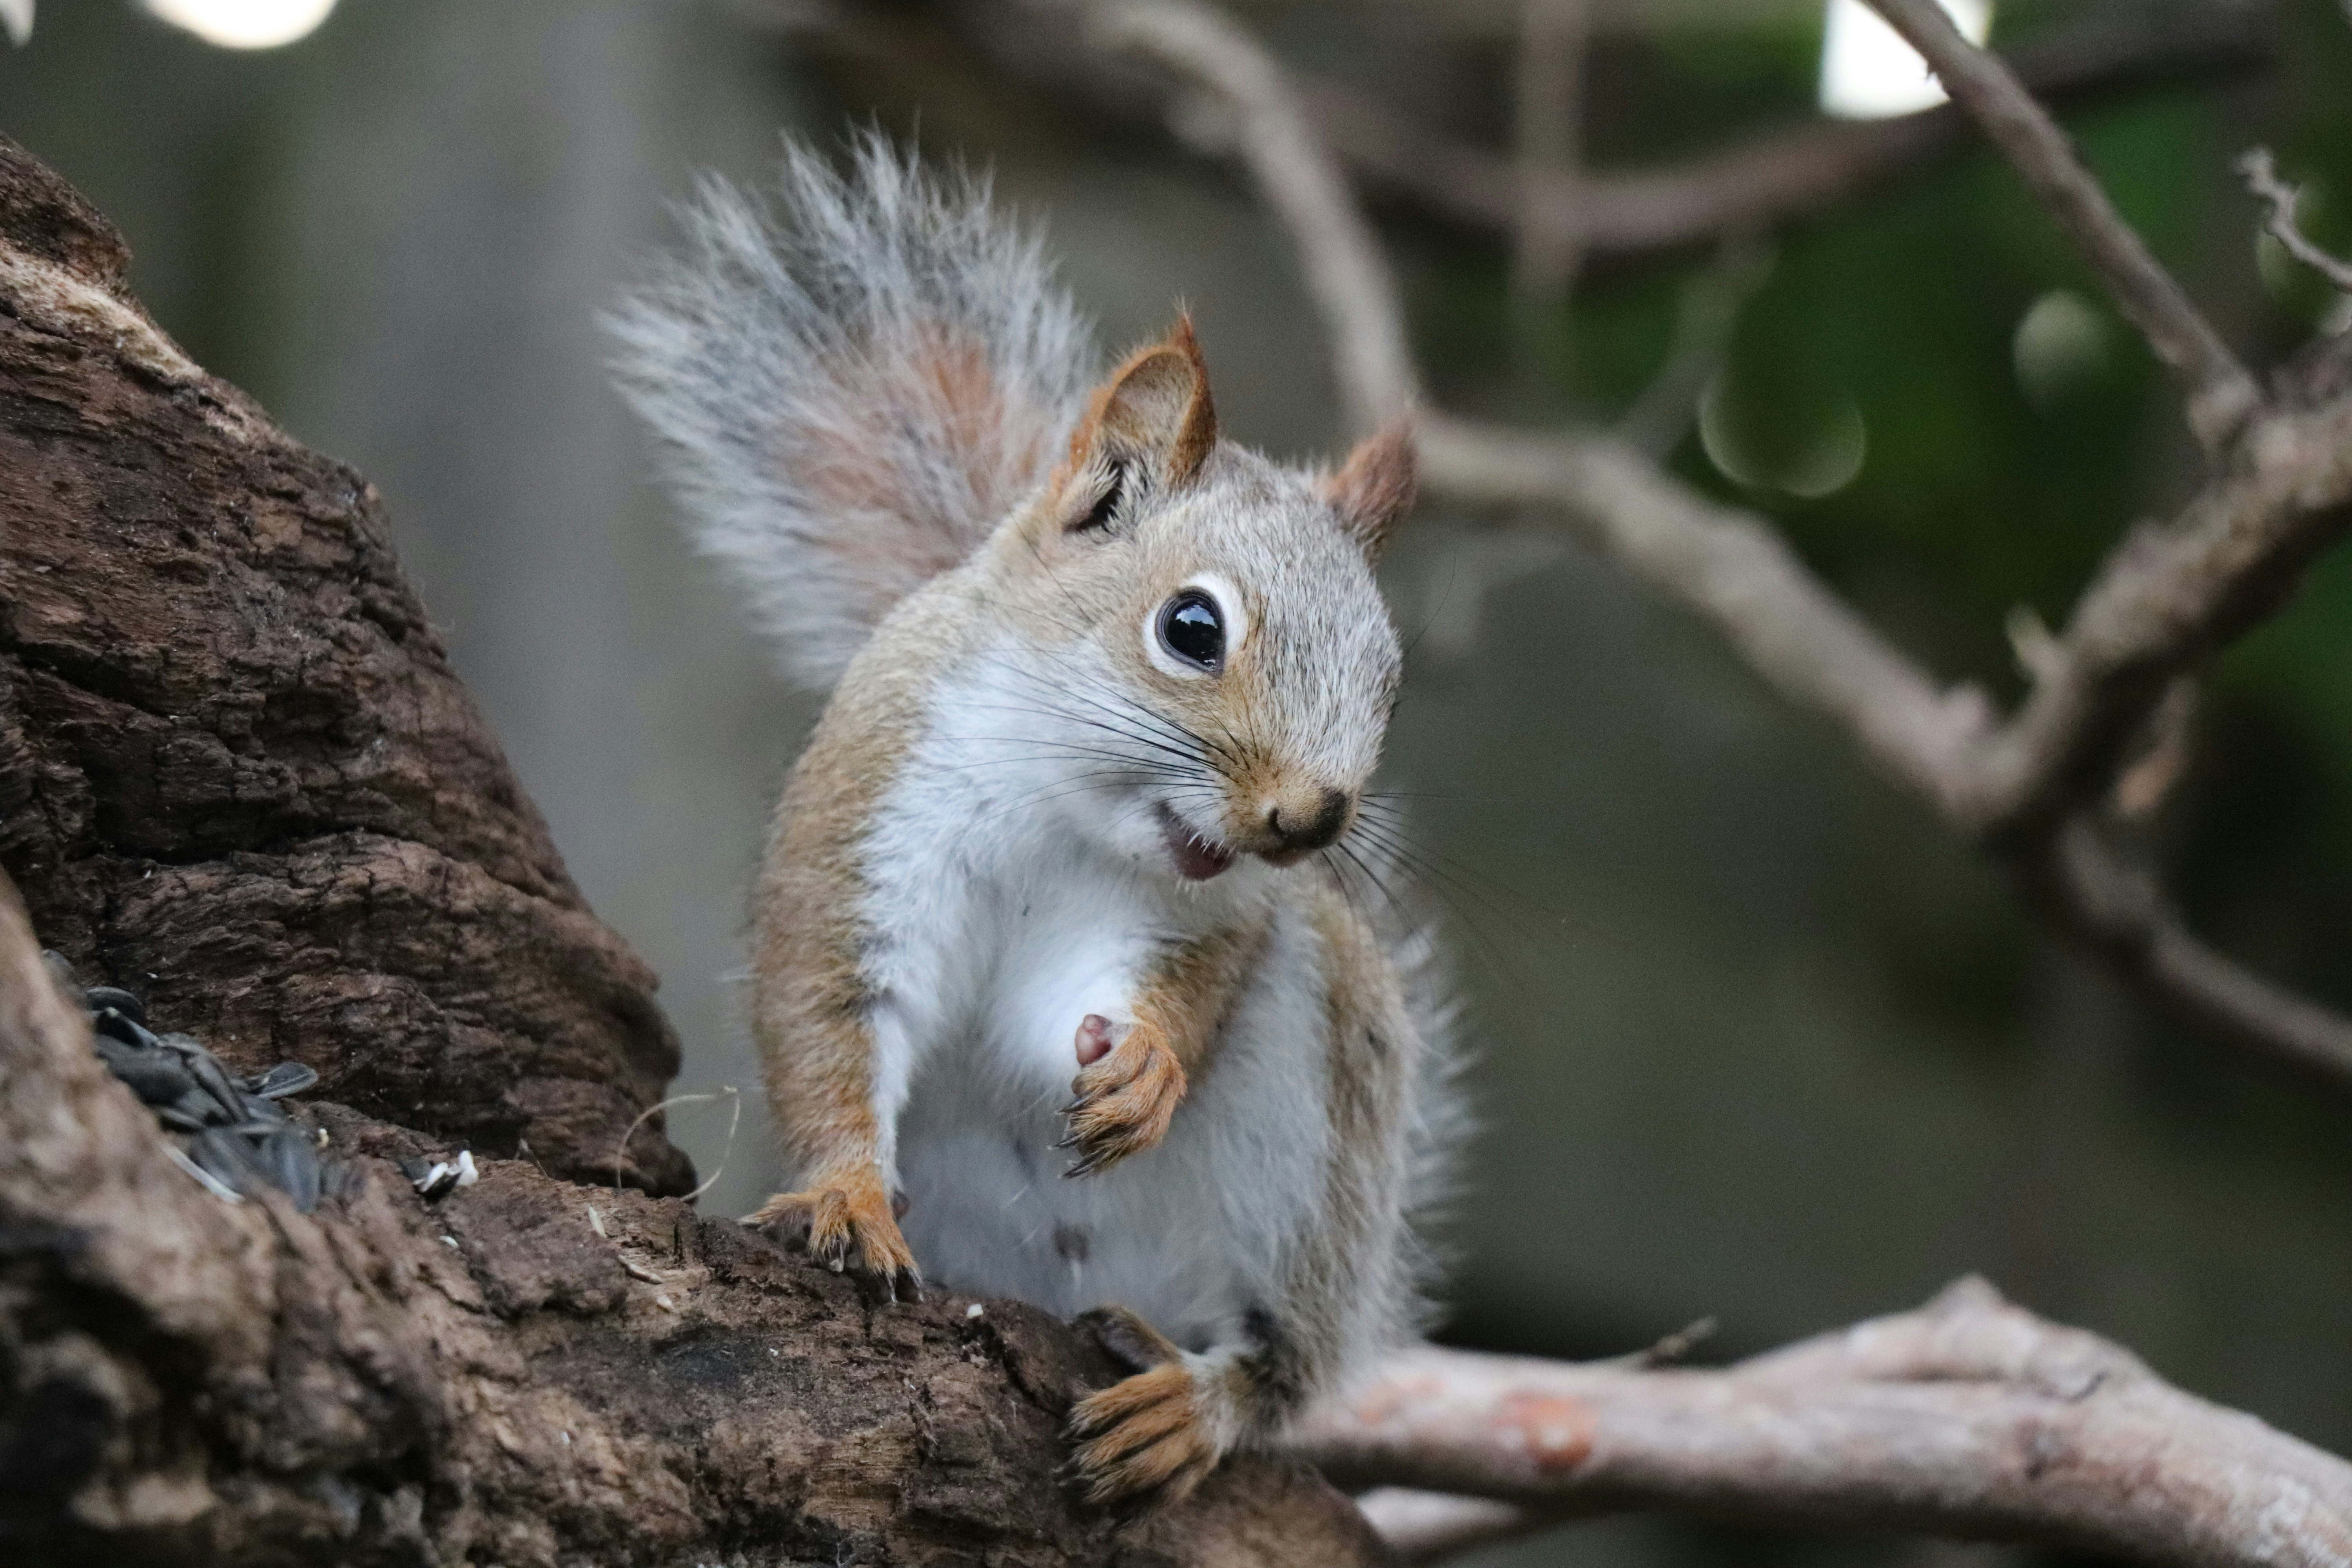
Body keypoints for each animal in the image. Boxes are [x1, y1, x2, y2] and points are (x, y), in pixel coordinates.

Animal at [609, 133, 1460, 1505]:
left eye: (1388, 676)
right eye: (1190, 627)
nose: (1308, 821)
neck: (1067, 804)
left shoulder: (1190, 917)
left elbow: (1162, 989)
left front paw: (1148, 1064)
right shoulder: (865, 829)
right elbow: (833, 1016)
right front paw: (846, 1199)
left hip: (1319, 1151)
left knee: (1279, 1365)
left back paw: (1189, 1400)